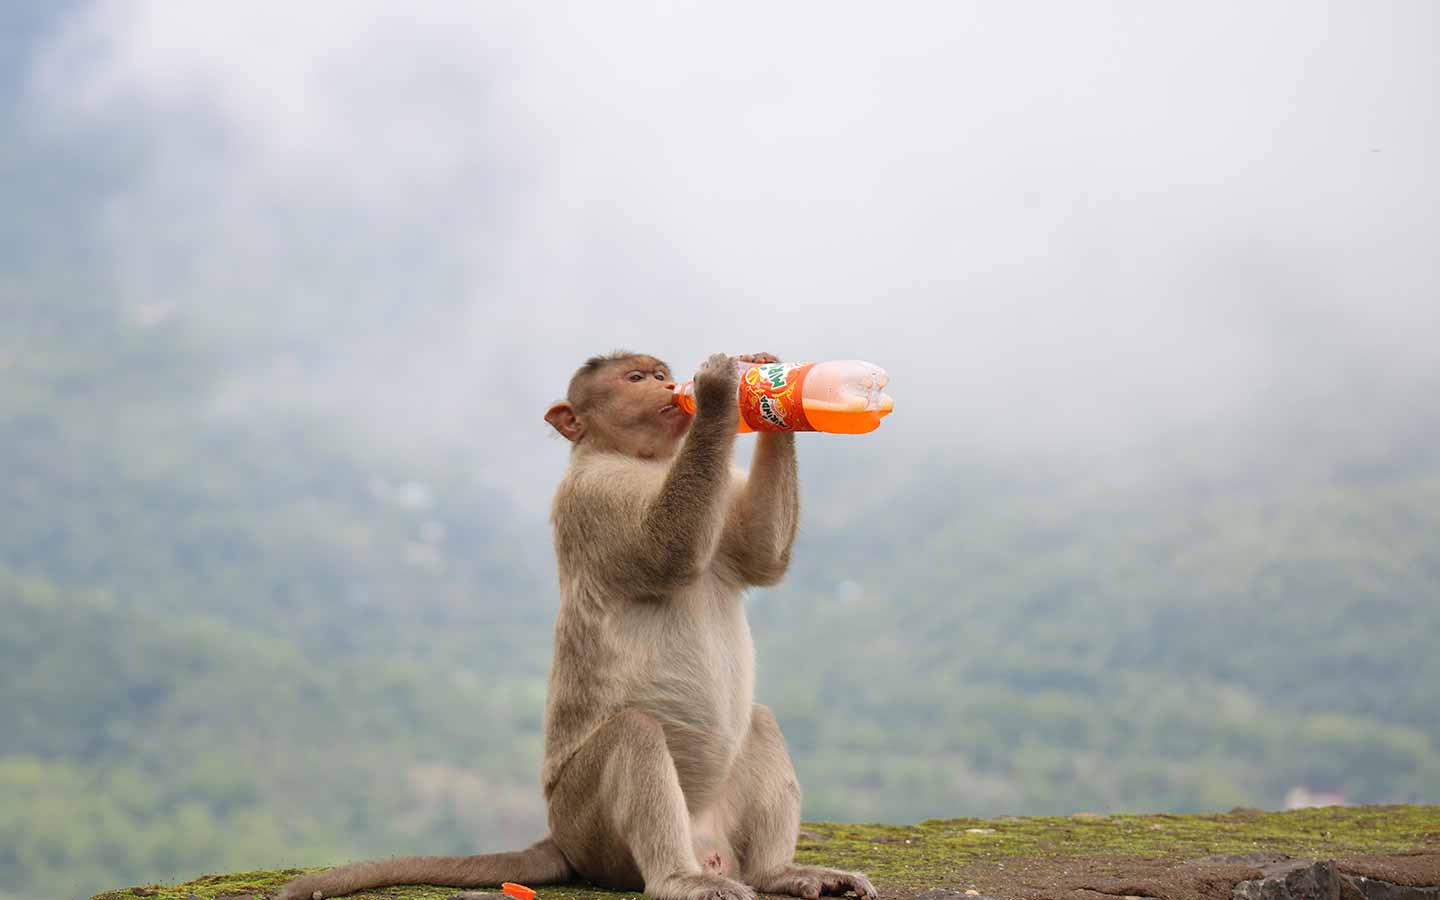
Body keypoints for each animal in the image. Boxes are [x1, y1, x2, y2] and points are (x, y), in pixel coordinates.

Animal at [274, 351, 876, 900]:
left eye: (659, 373)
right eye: (636, 377)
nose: (668, 385)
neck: (640, 458)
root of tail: (560, 839)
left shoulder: (718, 484)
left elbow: (759, 558)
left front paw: (772, 385)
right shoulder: (591, 493)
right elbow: (668, 555)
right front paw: (716, 390)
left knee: (760, 720)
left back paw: (777, 873)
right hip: (590, 825)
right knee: (634, 733)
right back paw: (677, 880)